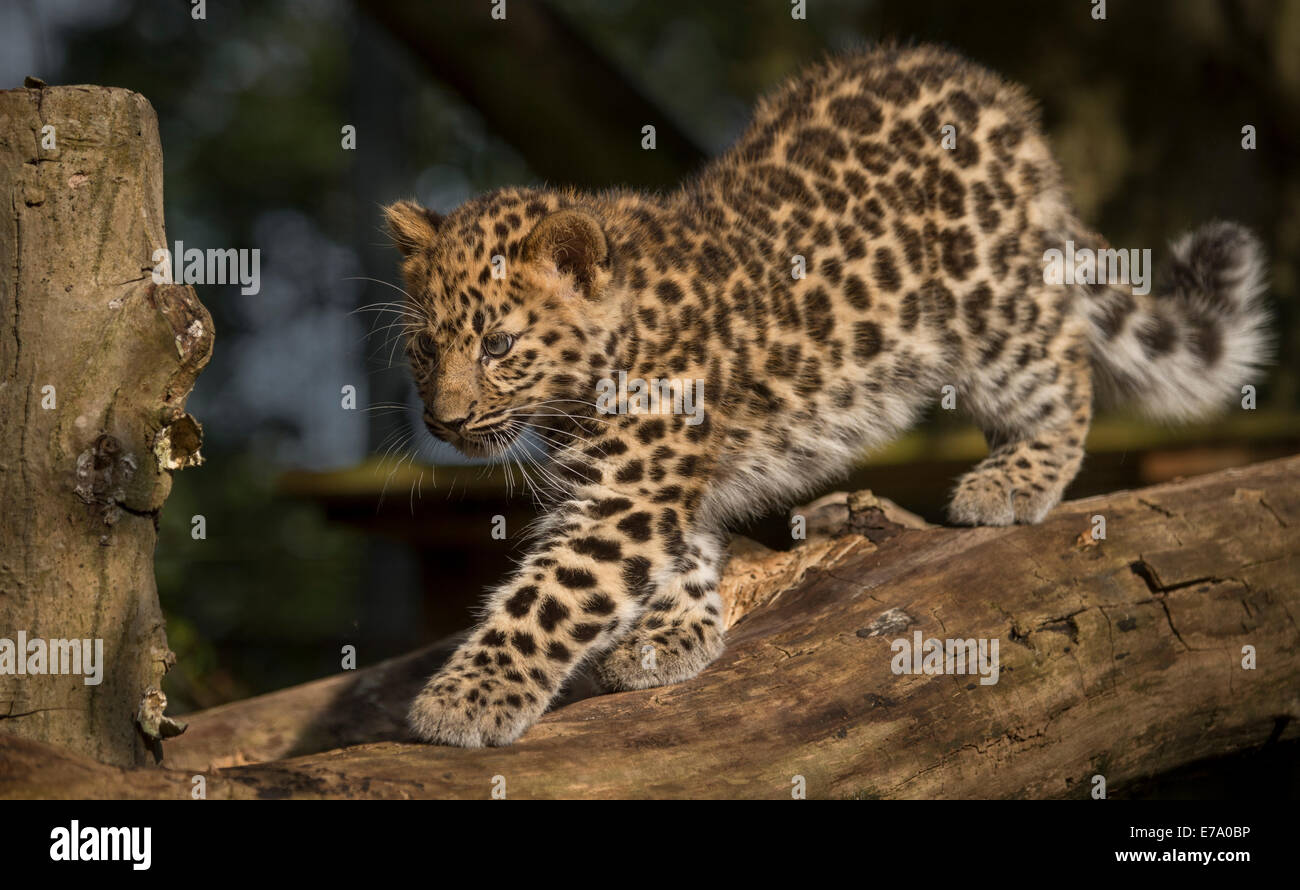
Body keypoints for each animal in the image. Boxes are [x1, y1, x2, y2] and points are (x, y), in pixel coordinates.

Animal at [382, 42, 1270, 747]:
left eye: (498, 346)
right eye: (426, 348)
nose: (443, 421)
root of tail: (993, 96)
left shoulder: (622, 498)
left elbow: (550, 597)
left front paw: (462, 701)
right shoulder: (647, 489)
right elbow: (681, 553)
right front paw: (675, 633)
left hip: (988, 300)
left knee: (1063, 368)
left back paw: (1014, 481)